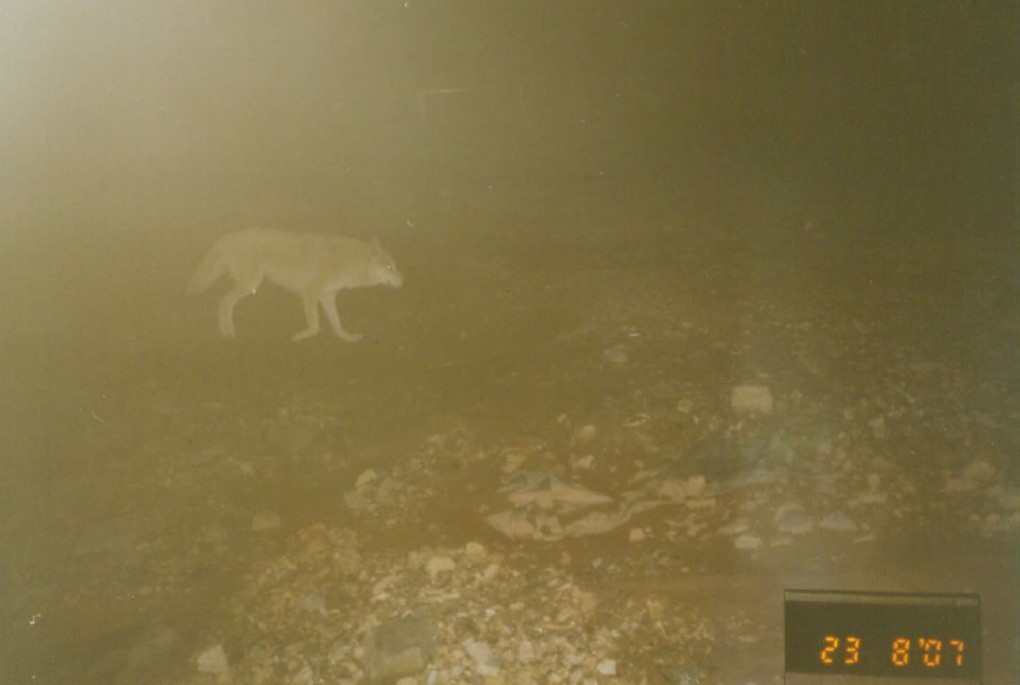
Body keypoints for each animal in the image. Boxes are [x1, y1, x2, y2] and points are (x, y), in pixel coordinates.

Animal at [188, 228, 403, 341]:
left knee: (223, 303)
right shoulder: (310, 295)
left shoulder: (328, 297)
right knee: (224, 302)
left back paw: (225, 333)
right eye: (389, 267)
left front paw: (346, 337)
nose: (404, 282)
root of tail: (228, 236)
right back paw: (229, 334)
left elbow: (337, 323)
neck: (348, 262)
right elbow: (315, 327)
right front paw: (300, 337)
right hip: (251, 284)